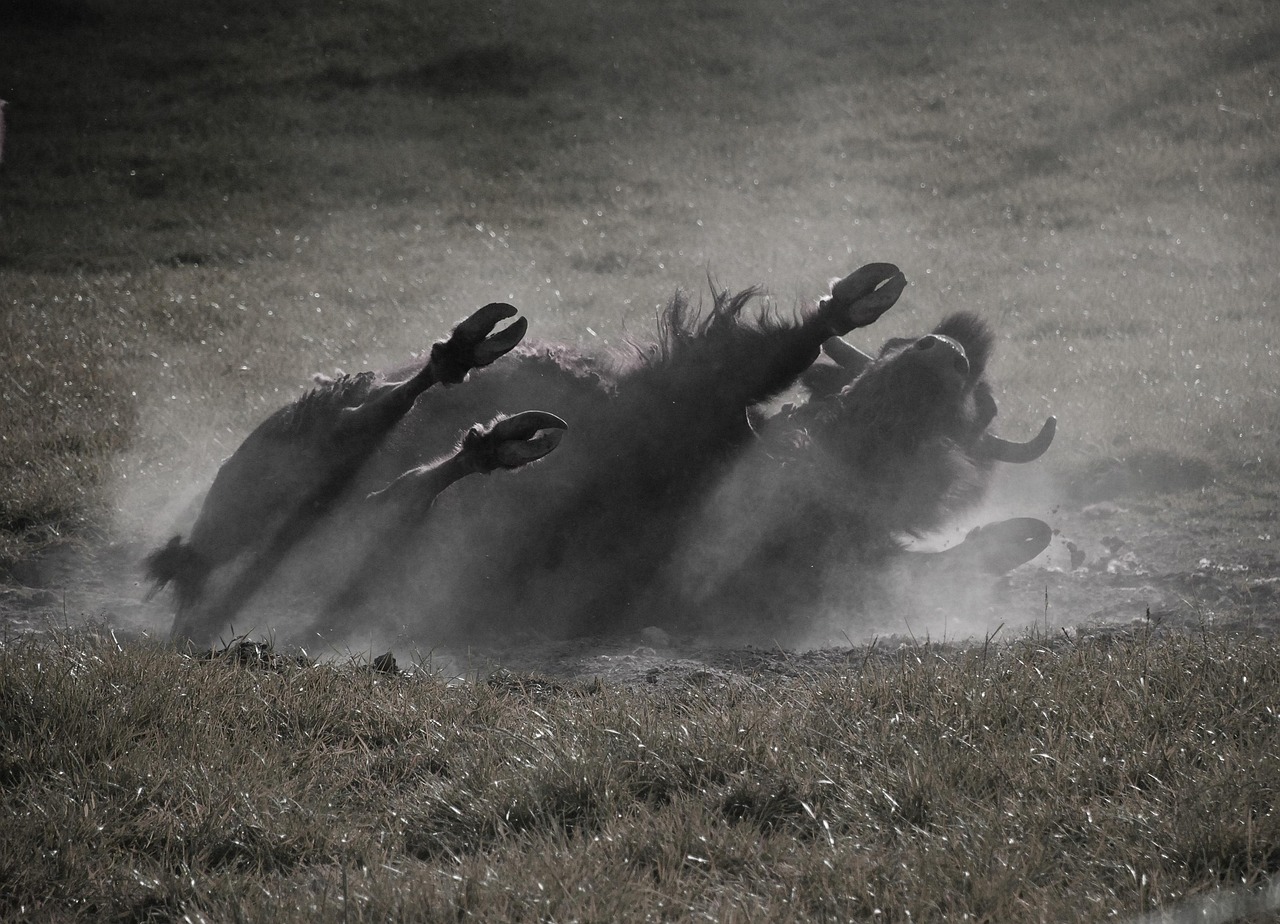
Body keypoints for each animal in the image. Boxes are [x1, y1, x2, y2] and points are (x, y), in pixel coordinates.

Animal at [148, 263, 1055, 649]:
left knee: (327, 551)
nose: (946, 350)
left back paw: (497, 437)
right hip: (288, 470)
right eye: (893, 353)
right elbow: (745, 360)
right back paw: (471, 365)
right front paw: (849, 302)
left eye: (971, 415)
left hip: (324, 568)